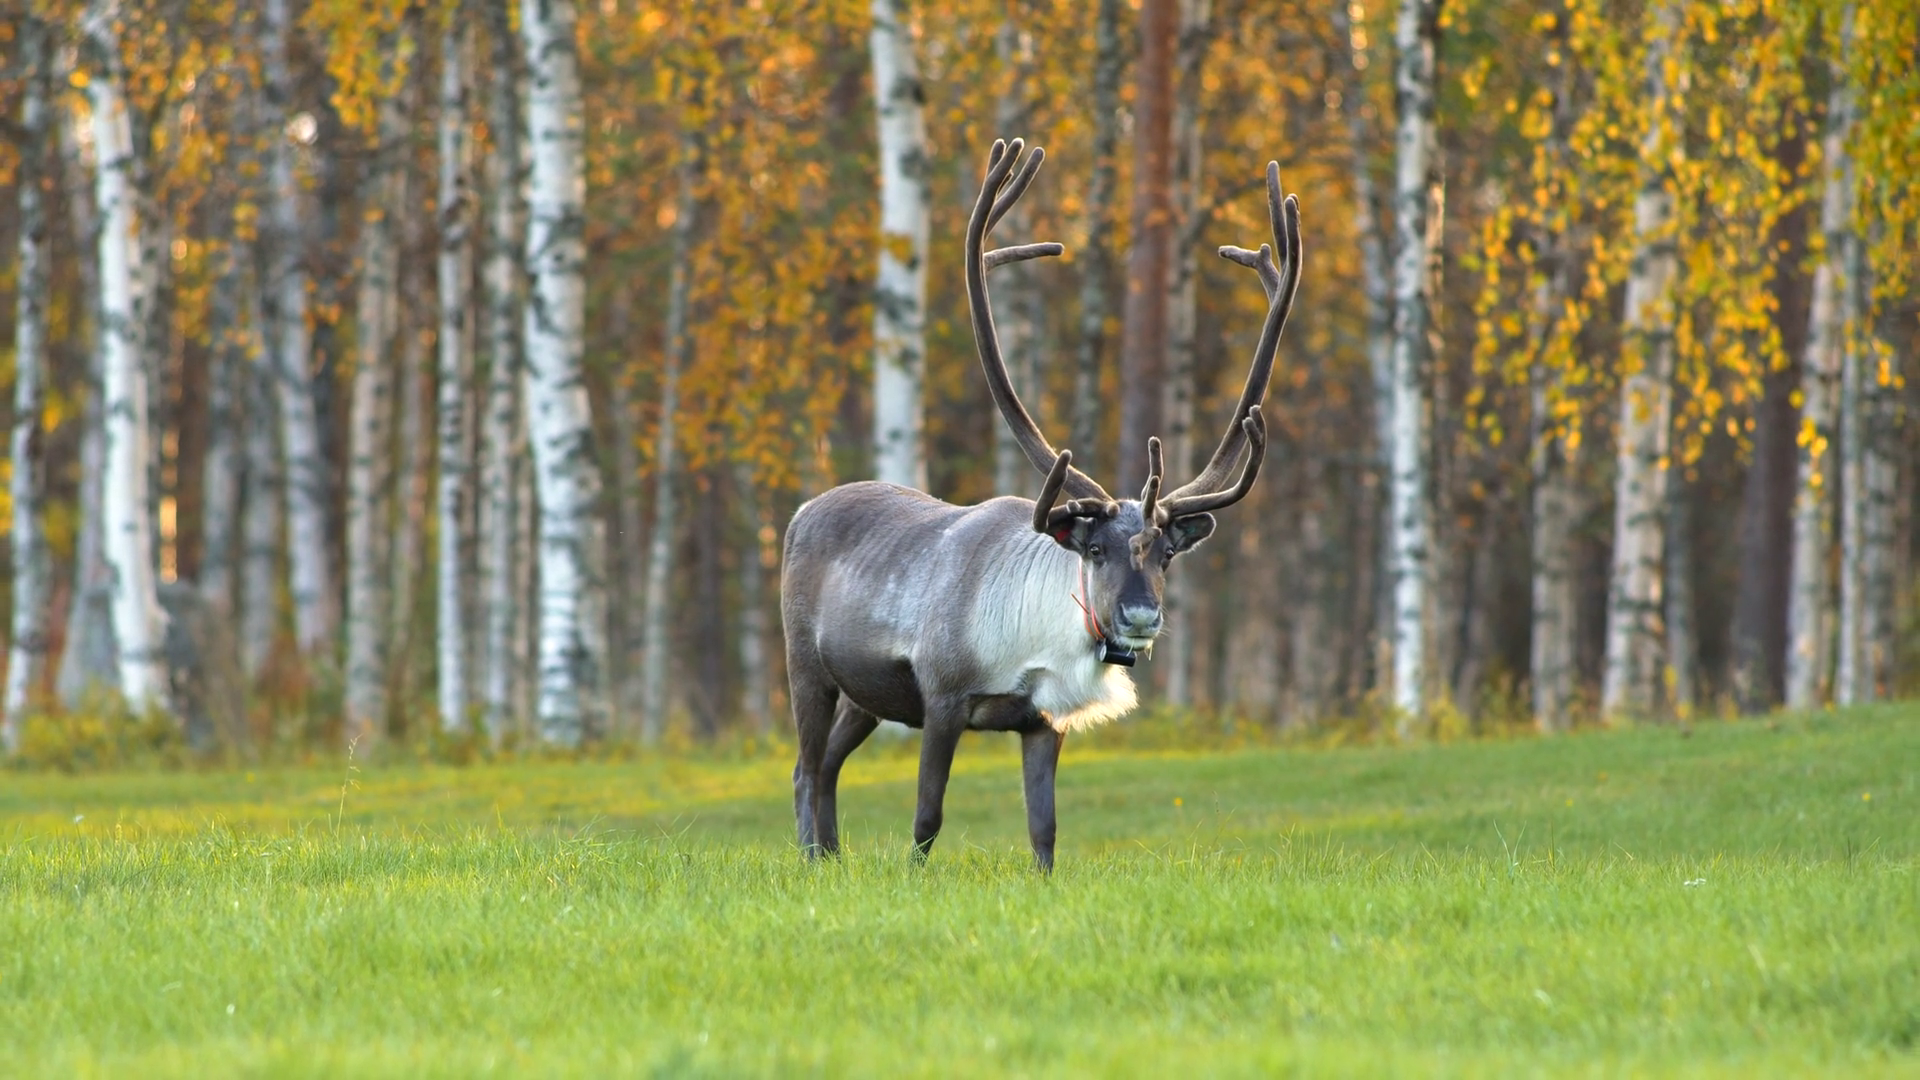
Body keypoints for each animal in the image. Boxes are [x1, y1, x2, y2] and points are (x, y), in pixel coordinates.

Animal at [779, 138, 1301, 870]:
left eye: (1167, 555)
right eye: (1098, 549)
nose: (1141, 615)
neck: (1036, 638)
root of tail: (802, 513)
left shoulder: (1043, 721)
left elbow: (1044, 829)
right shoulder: (942, 697)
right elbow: (927, 817)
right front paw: (913, 879)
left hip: (867, 695)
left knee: (827, 766)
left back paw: (829, 859)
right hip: (808, 665)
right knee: (804, 768)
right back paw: (812, 860)